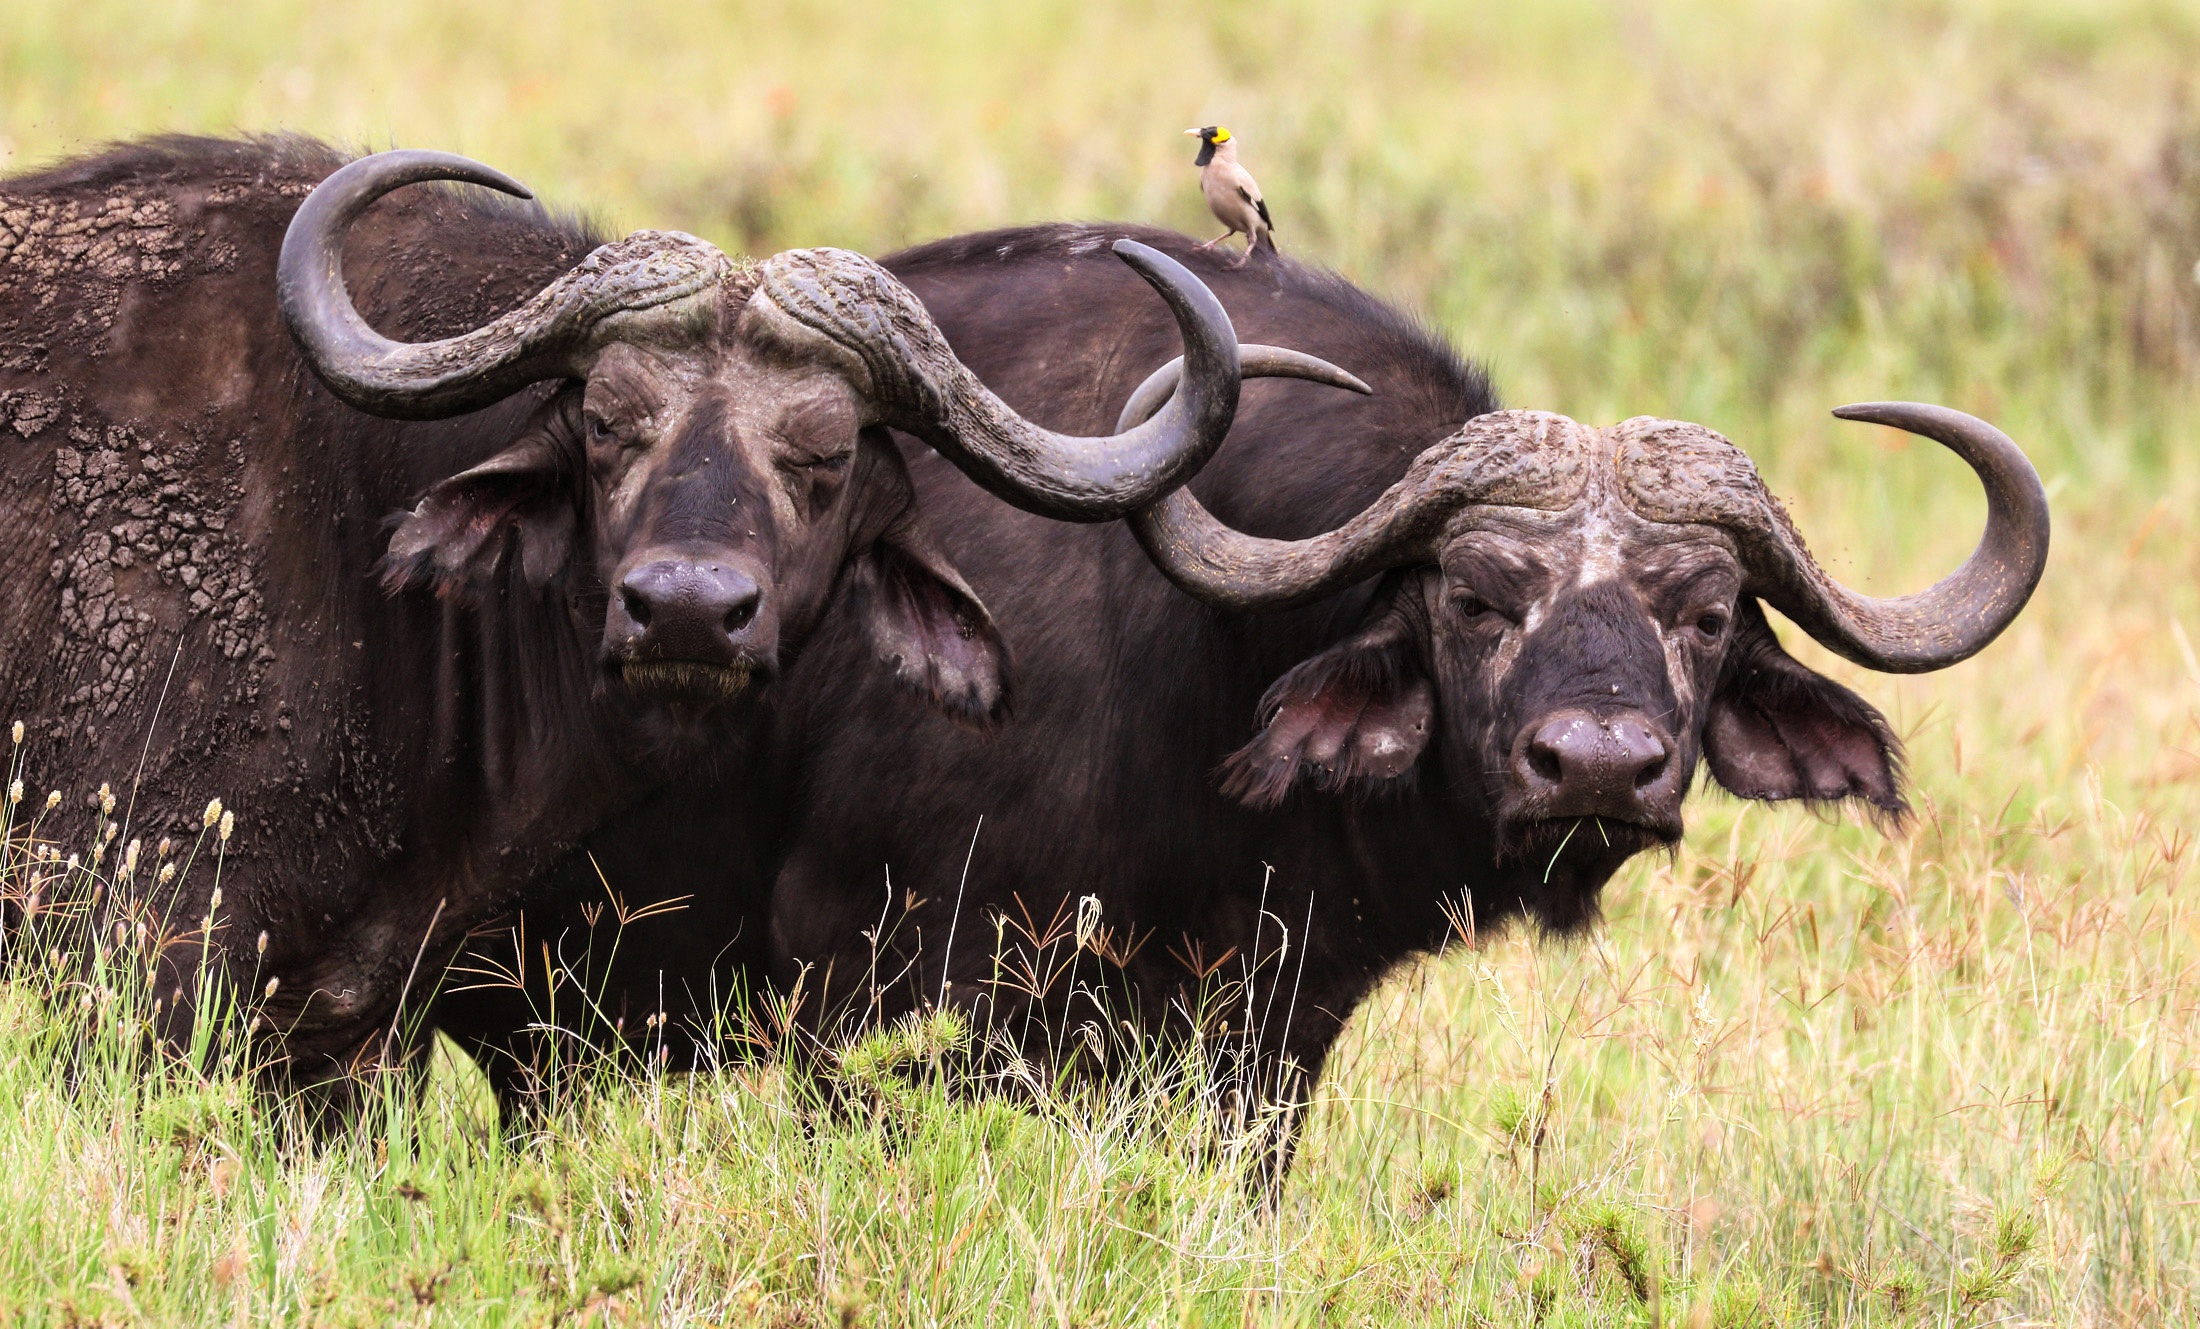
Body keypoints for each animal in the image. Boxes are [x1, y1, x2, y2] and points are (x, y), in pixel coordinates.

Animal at [440, 224, 2049, 1171]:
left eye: (1707, 615)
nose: (1597, 763)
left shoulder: (1273, 1028)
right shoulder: (875, 984)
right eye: (1472, 597)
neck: (1198, 654)